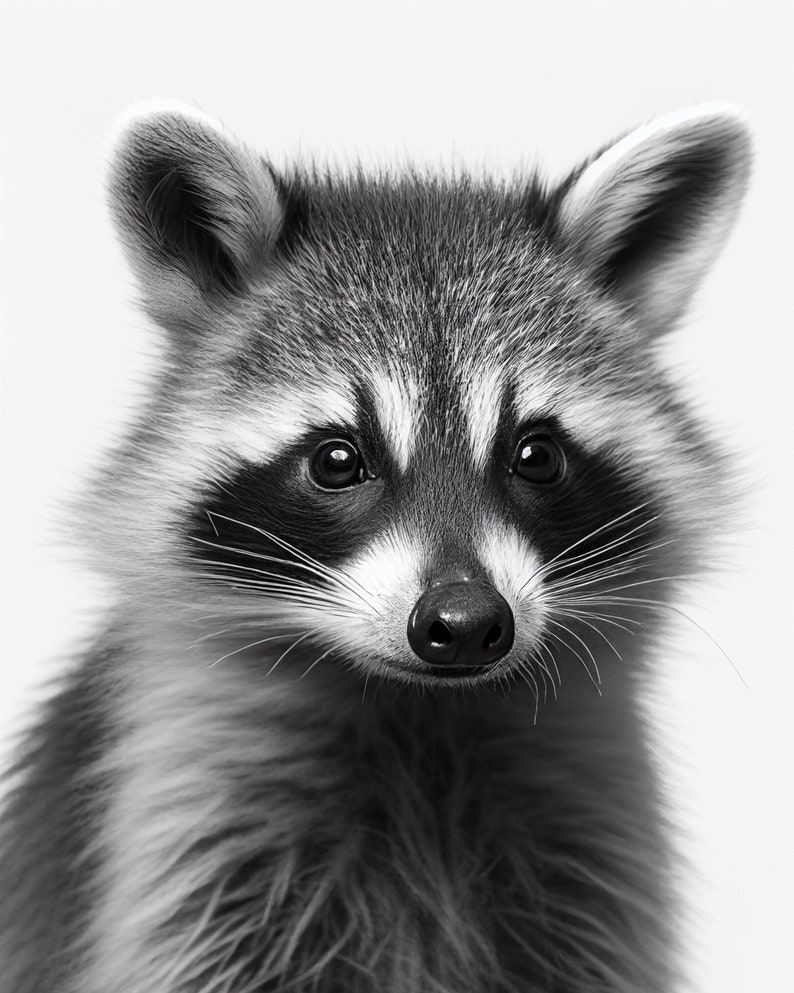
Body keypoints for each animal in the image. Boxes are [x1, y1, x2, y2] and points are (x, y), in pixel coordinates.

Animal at [0, 102, 750, 993]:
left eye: (535, 454)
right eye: (338, 458)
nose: (464, 622)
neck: (422, 714)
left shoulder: (590, 858)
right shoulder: (193, 848)